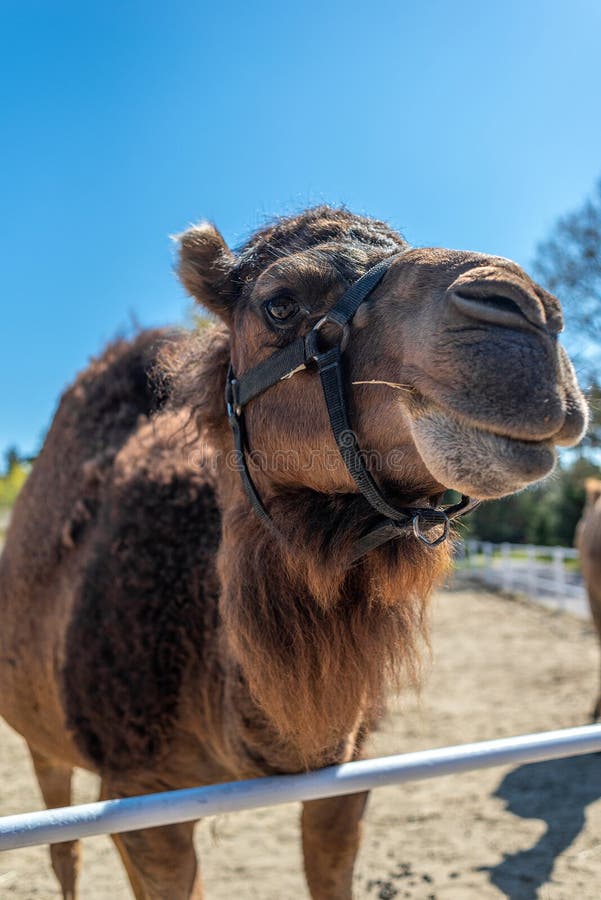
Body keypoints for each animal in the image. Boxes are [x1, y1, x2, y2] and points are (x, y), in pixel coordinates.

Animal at [0, 206, 587, 899]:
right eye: (279, 304)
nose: (528, 312)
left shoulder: (346, 775)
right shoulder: (138, 799)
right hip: (44, 739)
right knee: (62, 844)